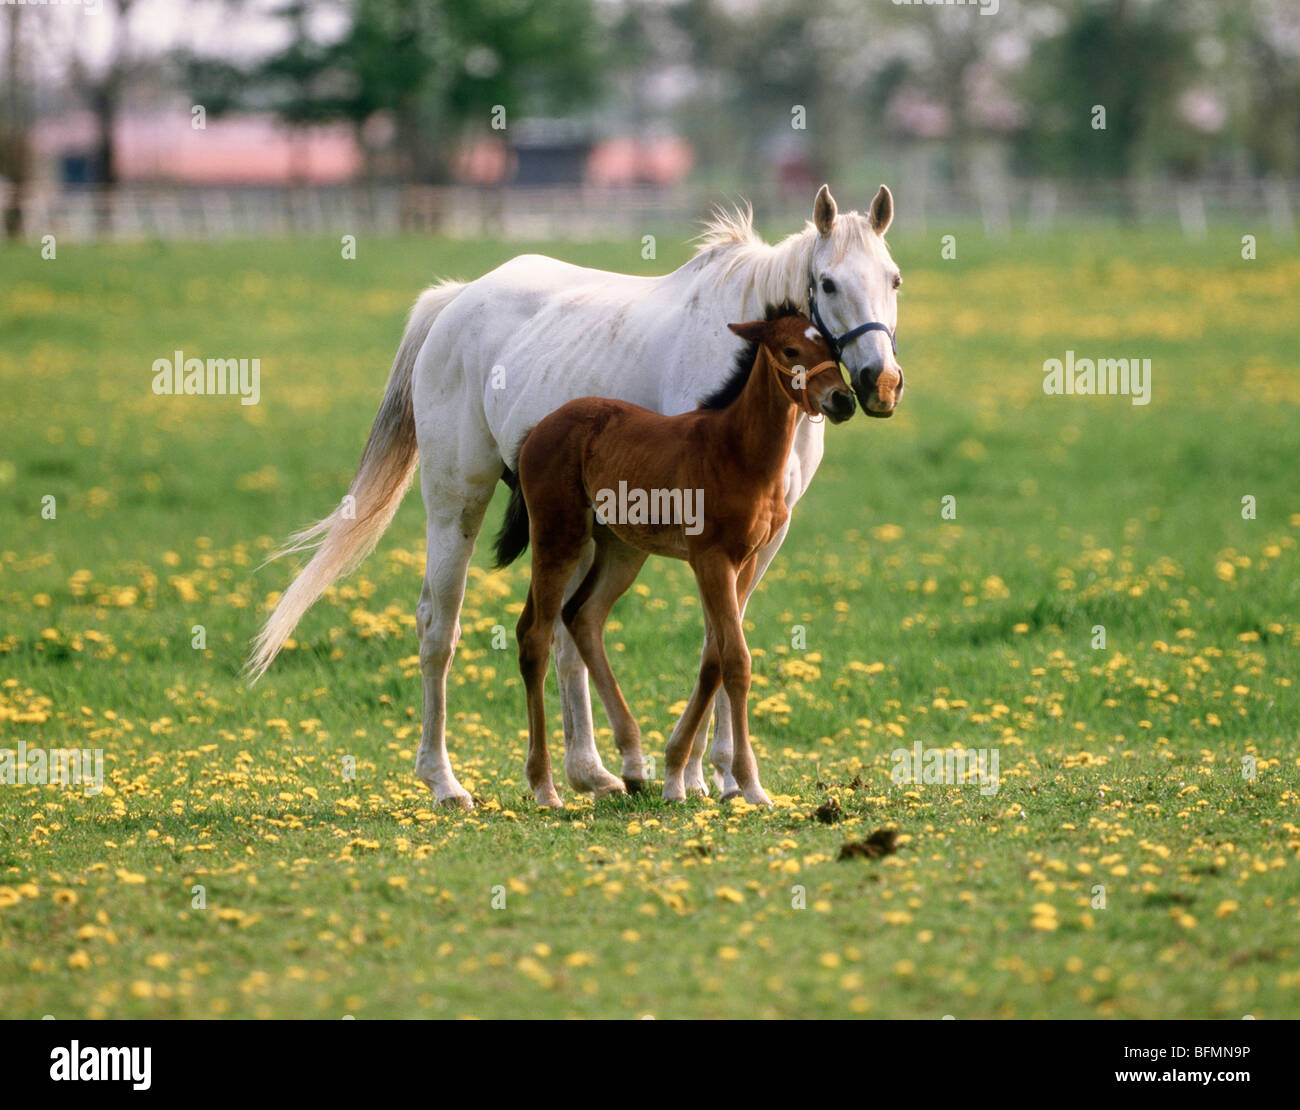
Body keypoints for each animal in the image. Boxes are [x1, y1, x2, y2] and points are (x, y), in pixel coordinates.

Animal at [497, 305, 877, 808]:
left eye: (832, 346)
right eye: (790, 350)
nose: (842, 401)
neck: (737, 452)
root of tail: (538, 429)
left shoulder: (745, 562)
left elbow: (713, 657)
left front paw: (677, 774)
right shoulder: (711, 559)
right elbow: (735, 660)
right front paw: (750, 785)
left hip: (620, 549)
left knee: (582, 615)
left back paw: (633, 767)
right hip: (559, 537)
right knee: (535, 636)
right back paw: (545, 786)